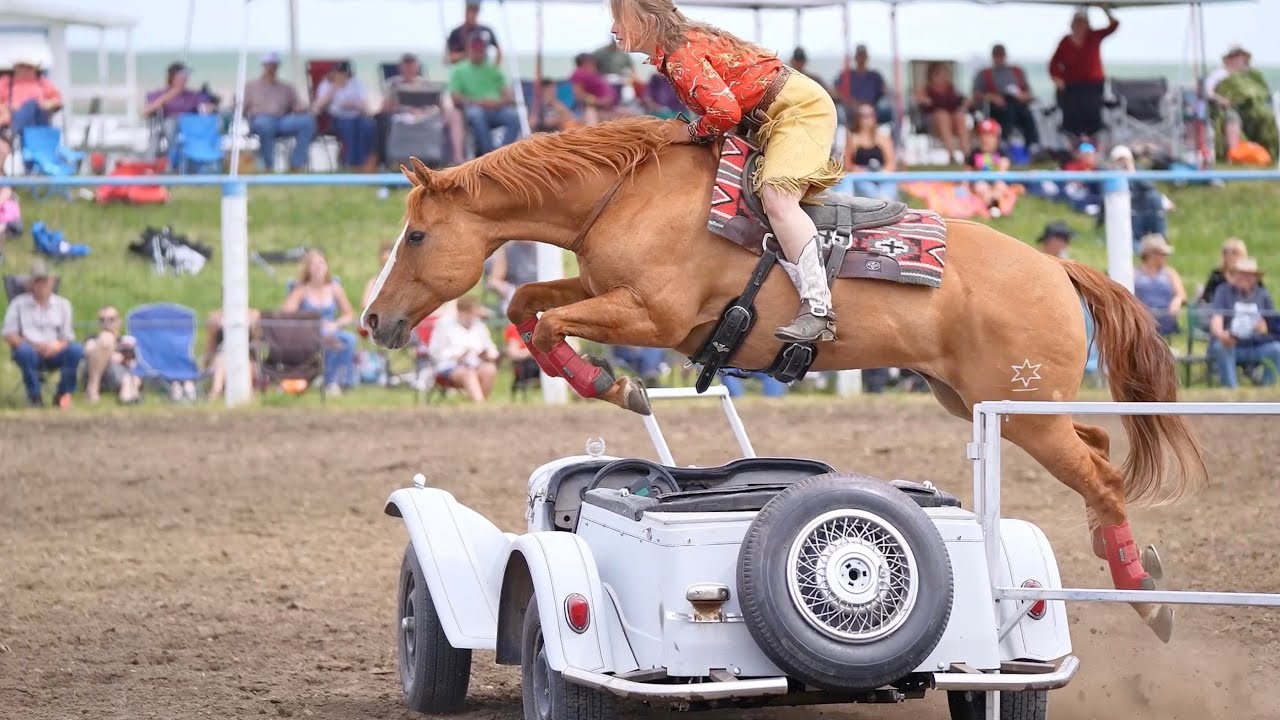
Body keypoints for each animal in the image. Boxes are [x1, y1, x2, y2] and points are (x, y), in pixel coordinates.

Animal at [361, 116, 1207, 643]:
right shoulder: (604, 295)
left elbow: (542, 324)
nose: (373, 320)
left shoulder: (652, 316)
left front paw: (615, 386)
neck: (631, 194)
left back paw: (1149, 602)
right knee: (1097, 448)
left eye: (417, 235)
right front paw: (609, 382)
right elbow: (527, 305)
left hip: (1022, 411)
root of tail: (1057, 268)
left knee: (1102, 474)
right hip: (997, 403)